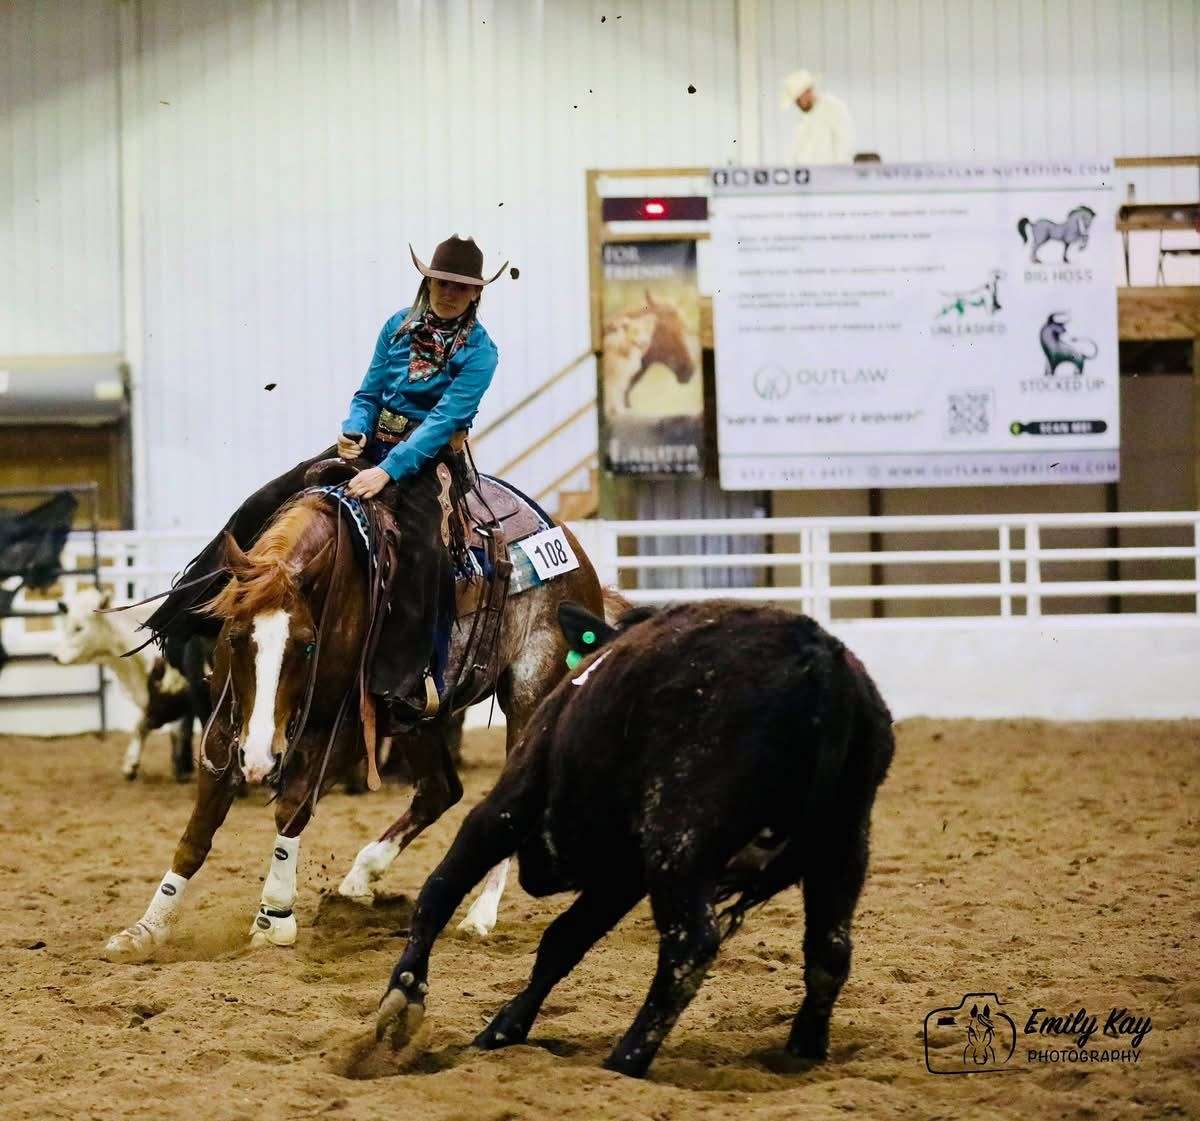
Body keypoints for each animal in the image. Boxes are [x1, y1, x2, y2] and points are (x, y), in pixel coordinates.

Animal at [55, 587, 210, 782]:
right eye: (65, 625)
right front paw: (131, 764)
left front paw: (181, 769)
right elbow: (143, 725)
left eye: (79, 628)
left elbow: (173, 729)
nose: (56, 656)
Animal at [103, 488, 603, 961]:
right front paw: (148, 927)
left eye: (307, 645)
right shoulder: (227, 730)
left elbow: (292, 810)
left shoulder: (347, 731)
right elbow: (198, 831)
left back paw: (480, 914)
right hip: (418, 719)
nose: (262, 758)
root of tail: (572, 547)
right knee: (440, 790)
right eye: (235, 637)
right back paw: (360, 879)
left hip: (529, 695)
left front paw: (274, 917)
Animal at [375, 599, 895, 1078]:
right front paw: (504, 1028)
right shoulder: (622, 874)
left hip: (680, 841)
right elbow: (563, 941)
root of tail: (821, 668)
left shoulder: (511, 802)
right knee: (829, 949)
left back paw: (627, 1056)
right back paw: (803, 1049)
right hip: (843, 846)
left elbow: (441, 888)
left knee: (691, 945)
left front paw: (403, 994)